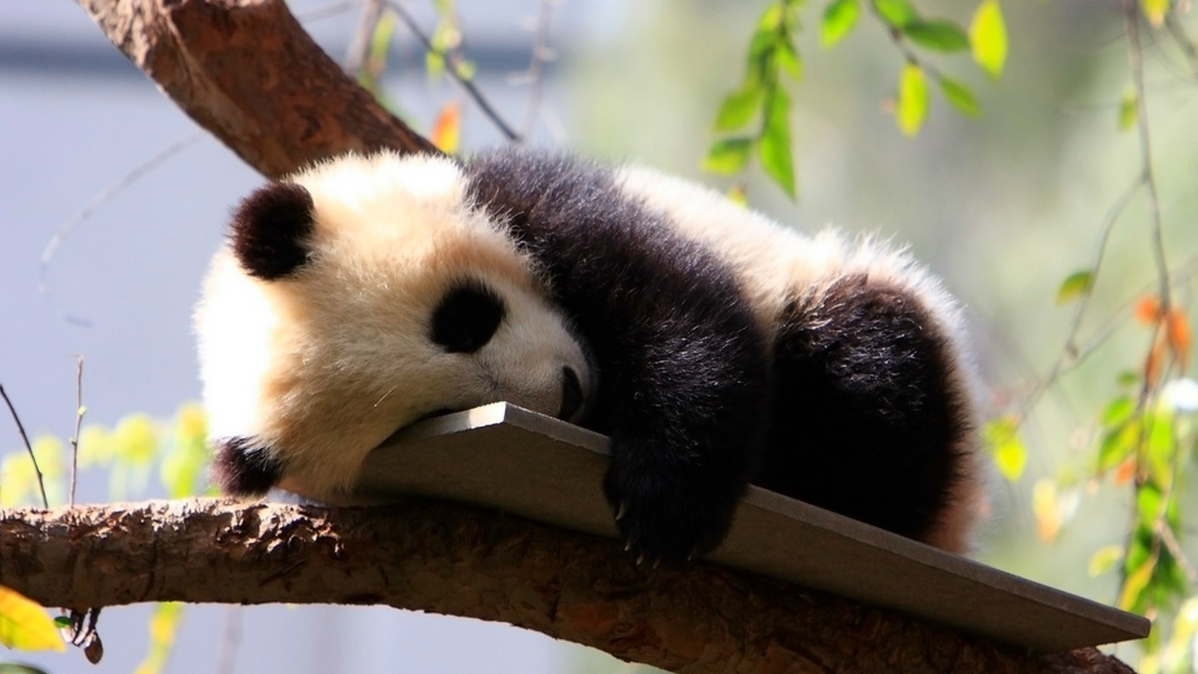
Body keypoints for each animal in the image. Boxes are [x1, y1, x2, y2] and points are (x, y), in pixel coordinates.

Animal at [195, 147, 982, 561]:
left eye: (464, 319)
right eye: (435, 415)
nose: (570, 394)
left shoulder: (543, 202)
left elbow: (680, 310)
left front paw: (665, 504)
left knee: (867, 369)